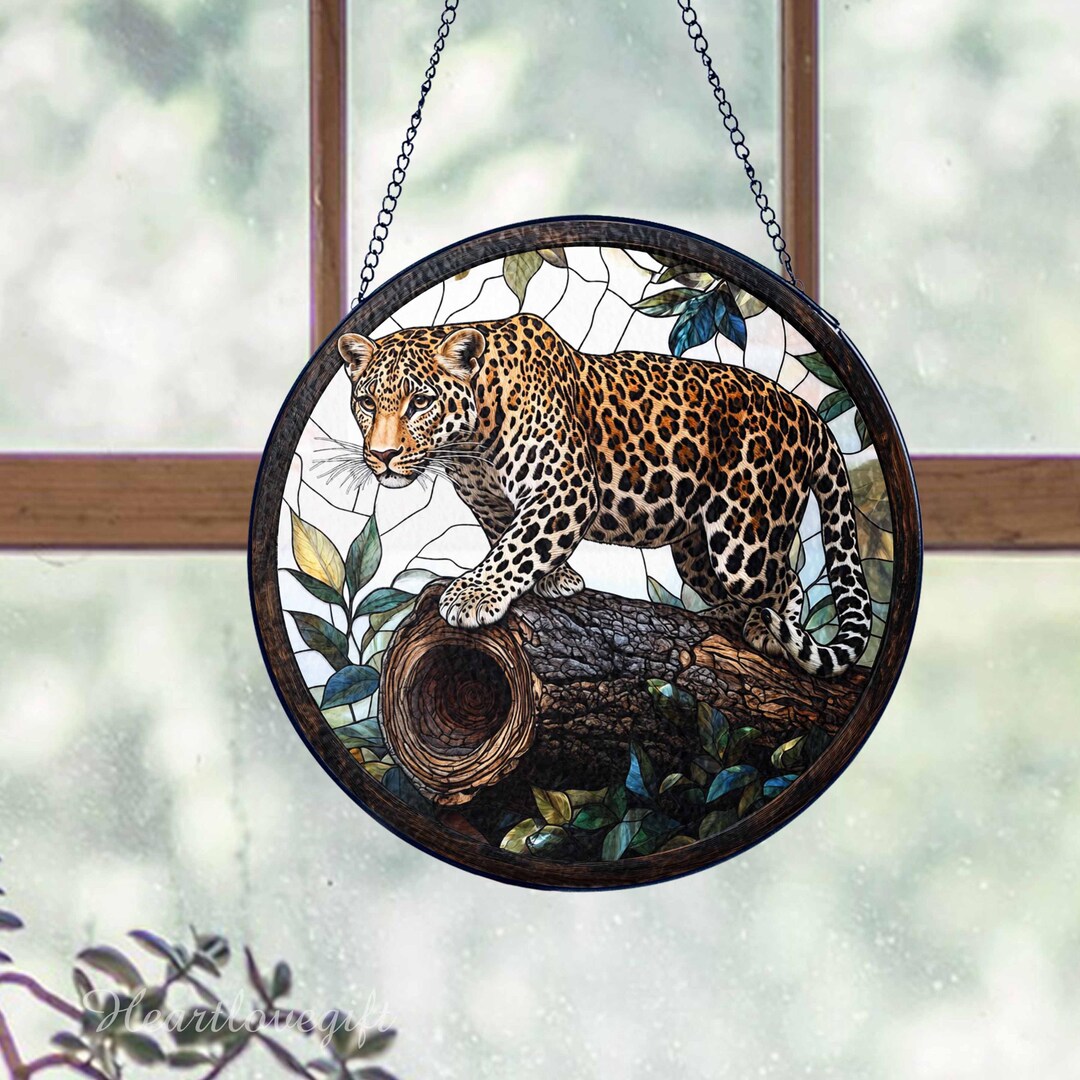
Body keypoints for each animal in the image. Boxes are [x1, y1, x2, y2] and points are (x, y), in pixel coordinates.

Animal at [336, 312, 873, 677]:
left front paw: (473, 596)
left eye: (420, 402)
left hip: (744, 542)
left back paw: (767, 629)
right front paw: (556, 580)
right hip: (696, 550)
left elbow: (518, 544)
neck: (470, 441)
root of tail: (807, 411)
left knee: (789, 580)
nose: (382, 455)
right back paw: (723, 616)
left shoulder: (564, 486)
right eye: (366, 402)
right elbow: (512, 538)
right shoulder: (491, 501)